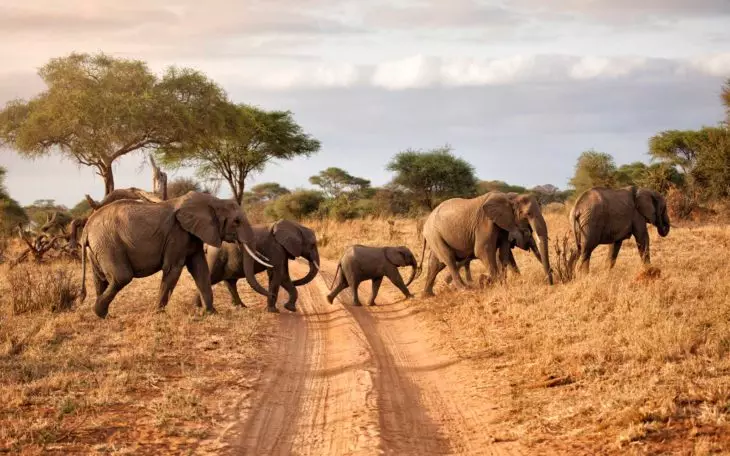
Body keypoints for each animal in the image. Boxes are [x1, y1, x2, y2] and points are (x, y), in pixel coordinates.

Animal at [79, 191, 272, 318]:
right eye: (236, 222)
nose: (271, 298)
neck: (214, 201)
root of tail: (87, 228)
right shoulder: (177, 234)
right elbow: (173, 269)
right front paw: (158, 313)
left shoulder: (193, 235)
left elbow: (201, 270)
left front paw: (211, 313)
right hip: (109, 244)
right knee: (121, 277)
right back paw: (99, 312)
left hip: (97, 248)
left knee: (100, 278)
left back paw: (103, 316)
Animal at [418, 191, 548, 296]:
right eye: (528, 214)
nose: (549, 281)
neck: (508, 197)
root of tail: (425, 223)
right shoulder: (485, 222)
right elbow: (482, 250)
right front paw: (486, 281)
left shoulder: (504, 226)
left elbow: (504, 253)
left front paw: (500, 283)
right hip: (434, 234)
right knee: (449, 259)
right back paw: (466, 290)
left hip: (436, 236)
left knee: (436, 263)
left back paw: (428, 295)